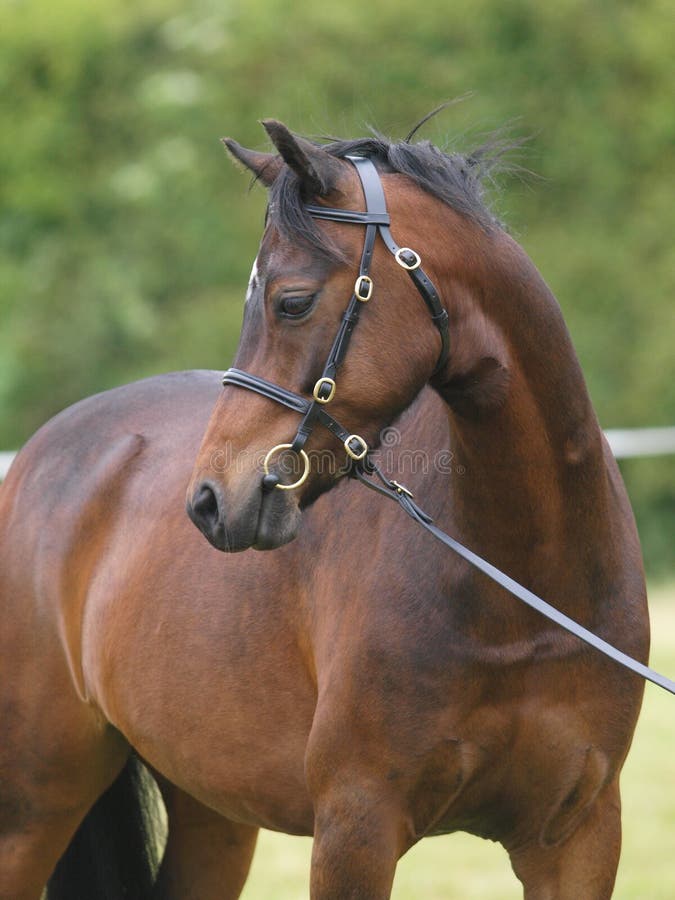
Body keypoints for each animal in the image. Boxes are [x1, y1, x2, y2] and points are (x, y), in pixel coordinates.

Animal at [0, 118, 649, 899]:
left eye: (291, 301)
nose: (211, 501)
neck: (523, 590)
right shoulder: (355, 826)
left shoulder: (577, 838)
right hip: (33, 809)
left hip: (212, 813)